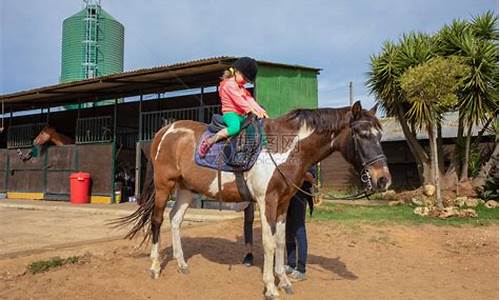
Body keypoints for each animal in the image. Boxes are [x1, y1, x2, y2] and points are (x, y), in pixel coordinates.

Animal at [117, 101, 390, 300]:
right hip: (164, 186)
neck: (284, 149)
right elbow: (268, 243)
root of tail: (166, 131)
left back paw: (182, 265)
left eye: (379, 135)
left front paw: (285, 281)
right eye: (362, 134)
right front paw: (270, 287)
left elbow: (280, 242)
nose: (383, 179)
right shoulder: (266, 201)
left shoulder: (283, 203)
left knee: (175, 221)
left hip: (185, 190)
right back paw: (155, 267)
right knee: (157, 221)